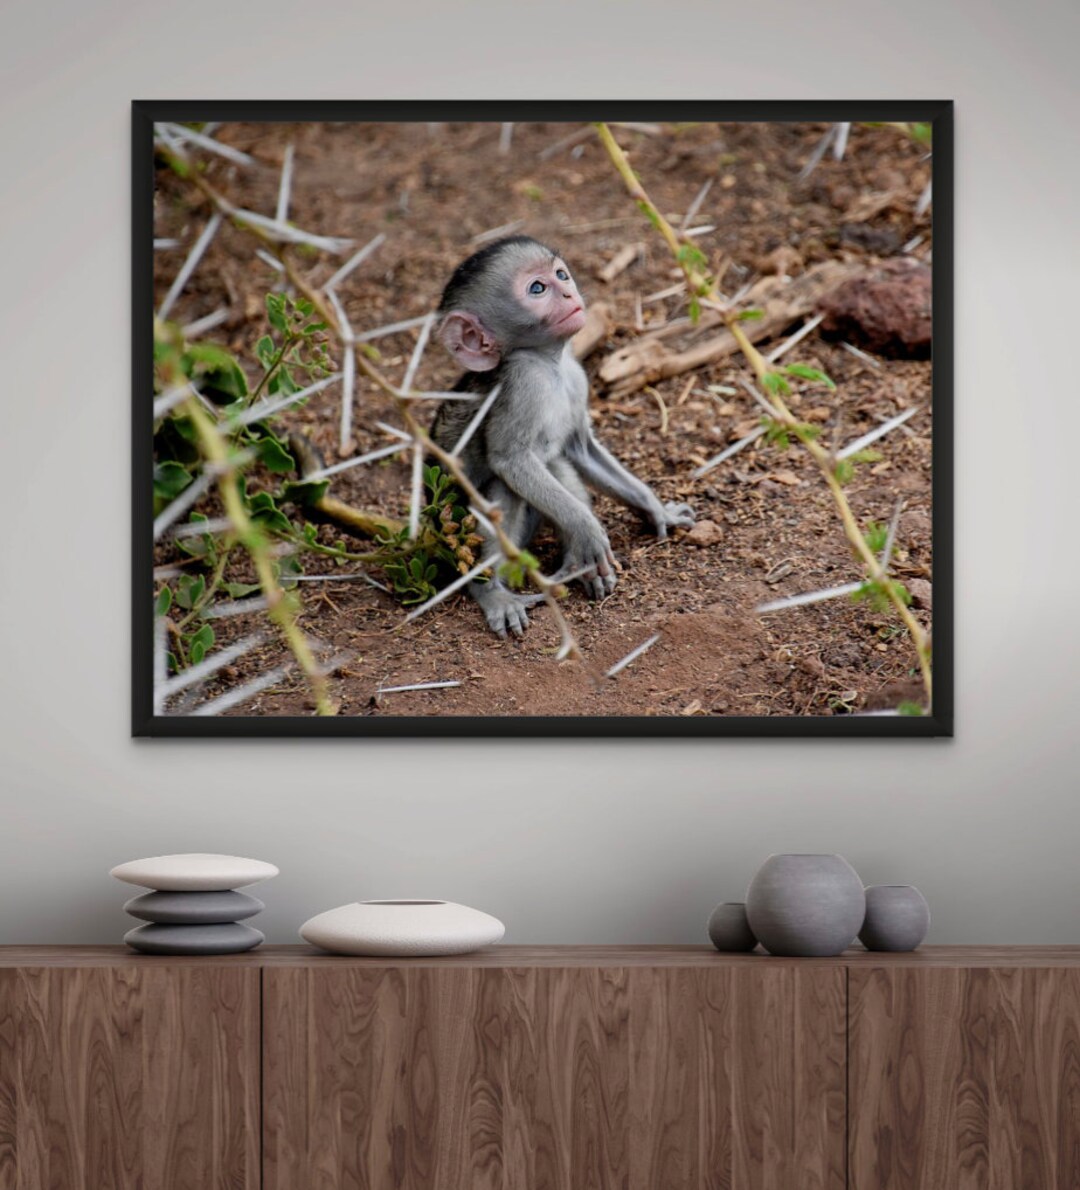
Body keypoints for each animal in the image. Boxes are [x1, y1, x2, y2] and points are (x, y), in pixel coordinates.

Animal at [430, 236, 695, 639]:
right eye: (537, 289)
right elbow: (510, 460)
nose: (569, 294)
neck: (549, 364)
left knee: (556, 462)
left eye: (561, 275)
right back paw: (492, 592)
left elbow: (581, 451)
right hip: (454, 535)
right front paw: (588, 531)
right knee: (508, 487)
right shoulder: (523, 381)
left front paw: (656, 510)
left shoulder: (577, 376)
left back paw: (578, 566)